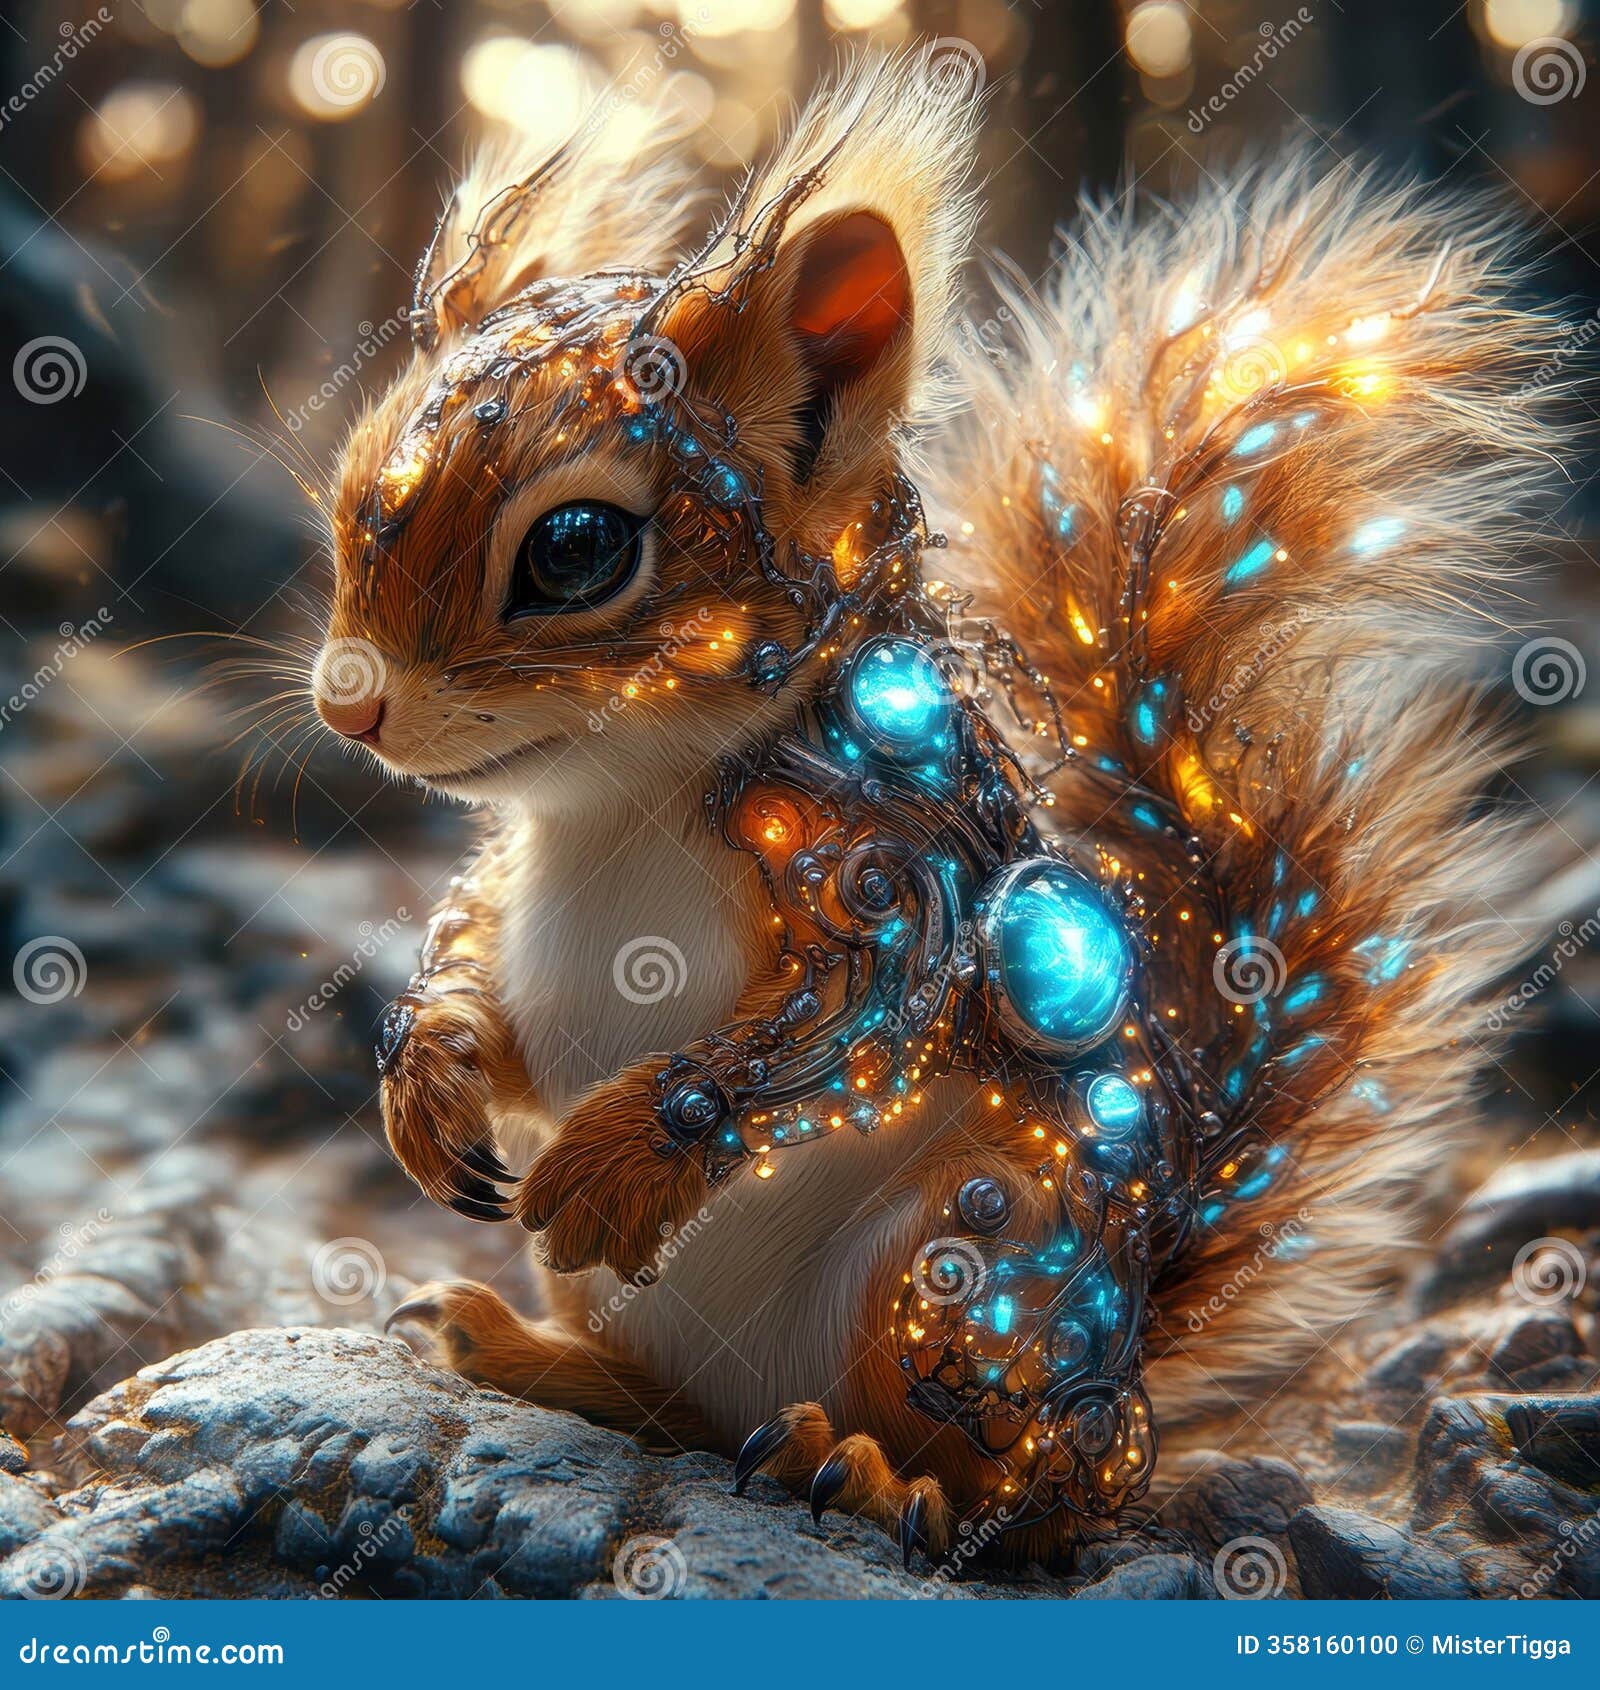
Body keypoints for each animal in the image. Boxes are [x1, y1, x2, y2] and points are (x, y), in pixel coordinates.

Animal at [306, 52, 1566, 1566]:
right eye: (347, 490)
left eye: (576, 548)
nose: (348, 707)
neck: (622, 793)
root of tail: (1116, 1391)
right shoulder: (513, 867)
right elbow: (469, 948)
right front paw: (425, 1082)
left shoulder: (898, 862)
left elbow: (859, 1018)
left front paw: (630, 1151)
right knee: (679, 1411)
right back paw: (519, 1348)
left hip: (974, 1257)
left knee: (1007, 1499)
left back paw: (874, 1472)